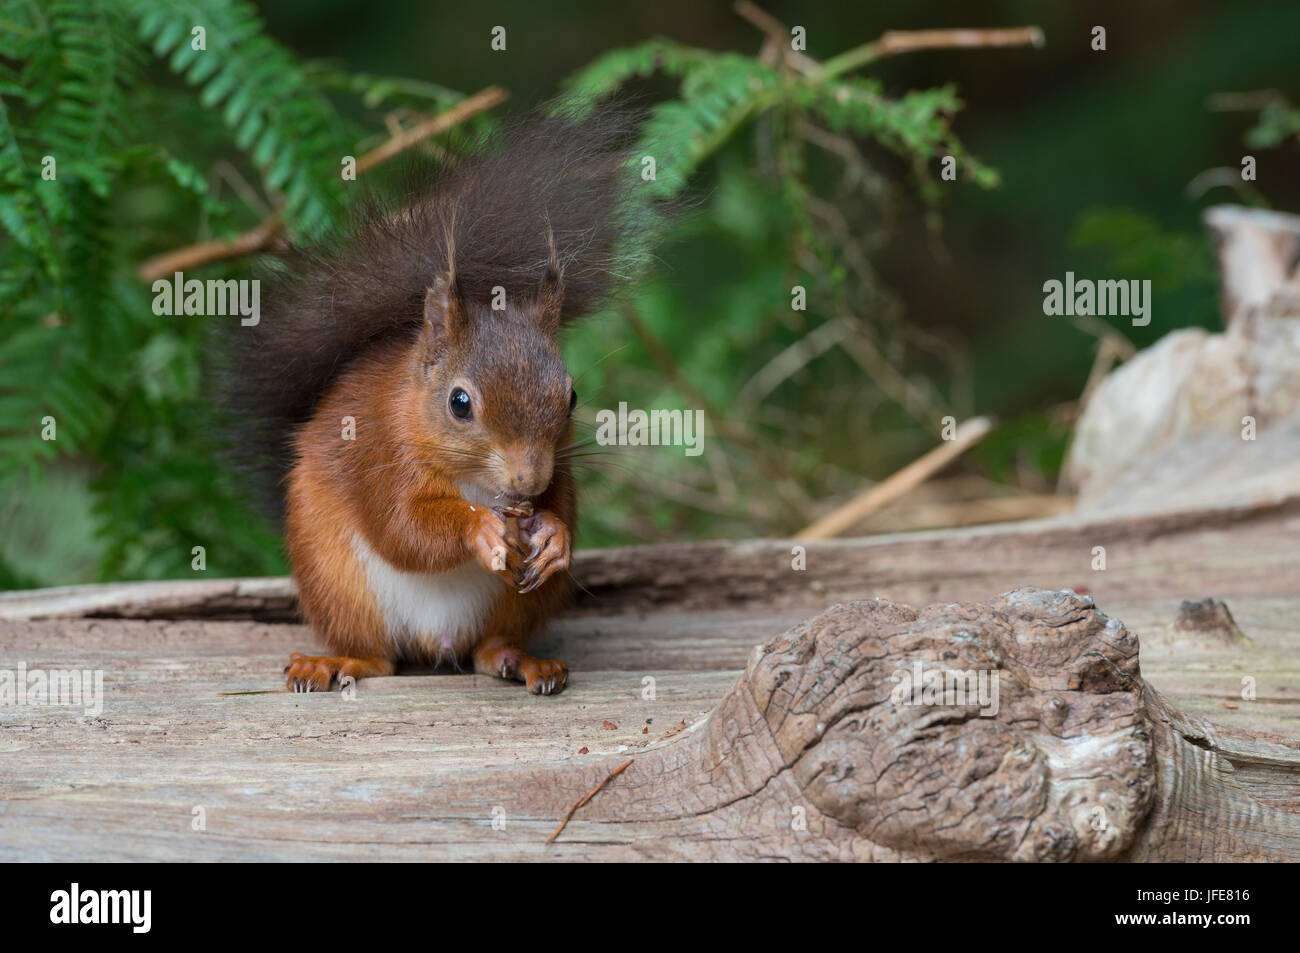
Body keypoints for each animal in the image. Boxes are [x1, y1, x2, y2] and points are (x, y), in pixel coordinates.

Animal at [222, 106, 653, 696]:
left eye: (571, 396)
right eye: (460, 402)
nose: (527, 481)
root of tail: (437, 642)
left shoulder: (559, 473)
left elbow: (560, 508)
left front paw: (554, 535)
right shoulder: (377, 453)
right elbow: (402, 527)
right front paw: (478, 528)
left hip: (513, 607)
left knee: (489, 650)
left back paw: (524, 661)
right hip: (338, 586)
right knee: (377, 656)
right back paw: (333, 663)